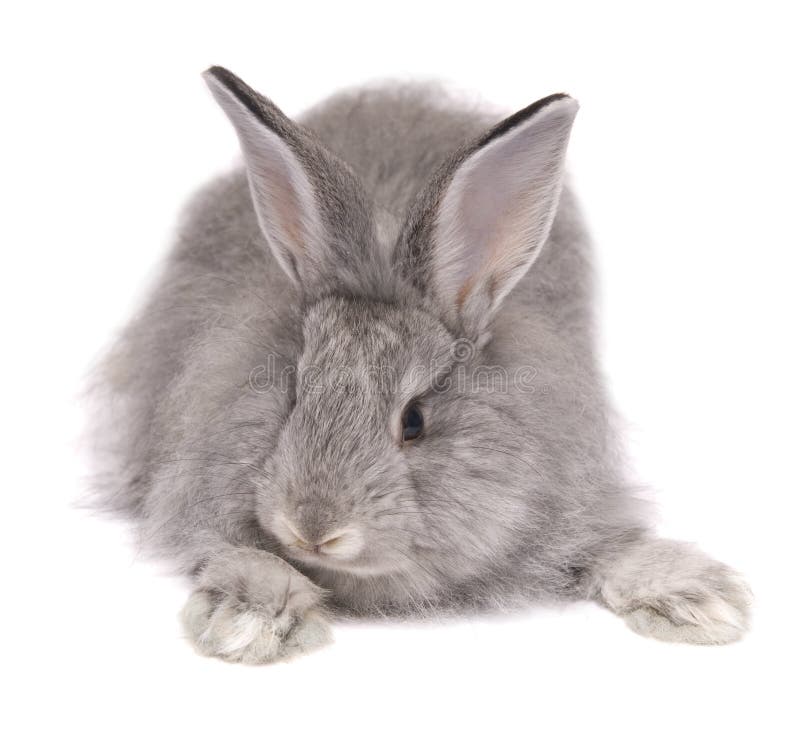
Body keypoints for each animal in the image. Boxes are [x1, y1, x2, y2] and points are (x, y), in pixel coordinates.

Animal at [92, 65, 751, 664]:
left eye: (414, 422)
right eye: (292, 395)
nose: (313, 526)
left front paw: (703, 601)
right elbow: (238, 555)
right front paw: (251, 616)